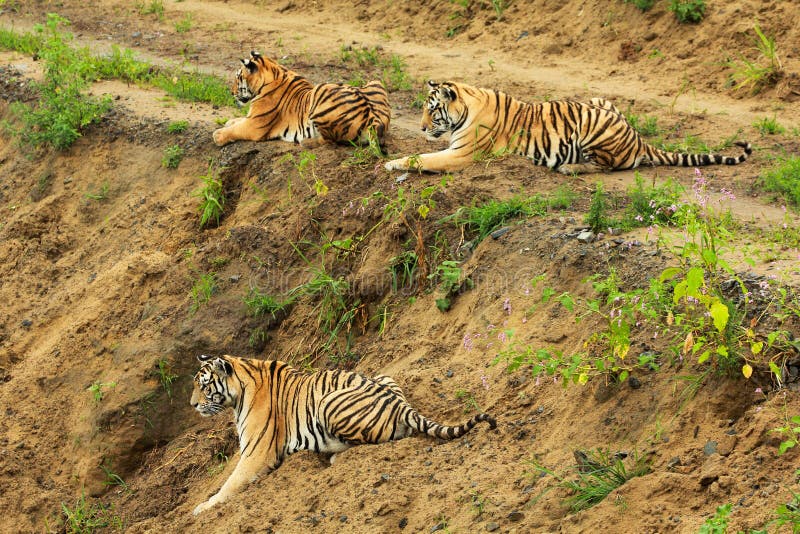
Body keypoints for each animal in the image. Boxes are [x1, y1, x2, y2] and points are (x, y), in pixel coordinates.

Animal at [190, 354, 496, 515]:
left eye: (204, 386)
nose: (192, 405)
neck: (240, 390)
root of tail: (400, 405)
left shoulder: (255, 453)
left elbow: (229, 484)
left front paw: (202, 507)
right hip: (384, 375)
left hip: (327, 403)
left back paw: (335, 457)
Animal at [212, 51, 391, 149]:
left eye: (238, 77)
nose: (231, 92)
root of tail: (373, 117)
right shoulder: (251, 118)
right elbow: (238, 120)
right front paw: (229, 122)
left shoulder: (255, 125)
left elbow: (237, 129)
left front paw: (218, 135)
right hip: (375, 82)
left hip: (320, 91)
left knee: (331, 141)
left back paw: (307, 142)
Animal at [384, 80, 751, 174]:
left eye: (432, 110)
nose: (421, 128)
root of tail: (639, 139)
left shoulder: (459, 155)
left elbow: (422, 159)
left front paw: (390, 164)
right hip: (599, 100)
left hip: (592, 126)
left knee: (607, 166)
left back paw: (569, 169)